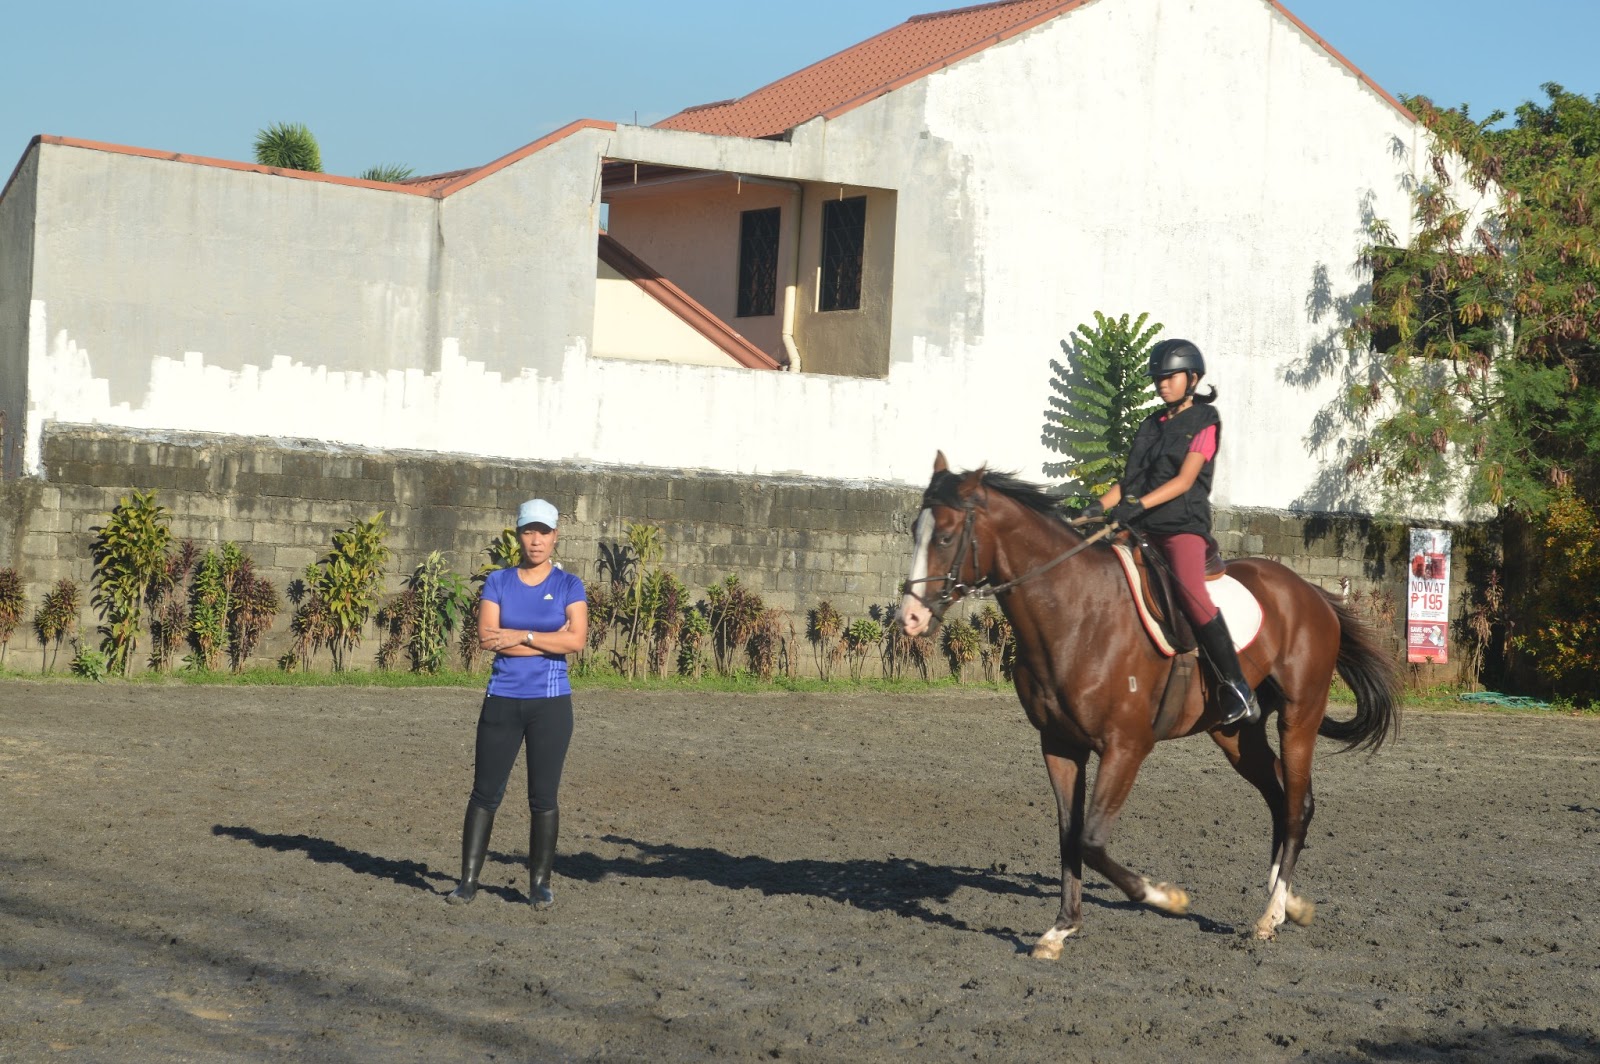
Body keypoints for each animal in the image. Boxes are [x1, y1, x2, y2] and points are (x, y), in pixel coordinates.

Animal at [899, 453, 1399, 956]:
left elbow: (1091, 841)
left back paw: (1270, 915)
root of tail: (1311, 593)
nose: (910, 617)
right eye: (915, 531)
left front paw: (1167, 897)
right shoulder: (1059, 745)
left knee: (1297, 806)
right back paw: (1286, 902)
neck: (1075, 613)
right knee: (1280, 797)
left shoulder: (1126, 747)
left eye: (945, 537)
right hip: (1235, 734)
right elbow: (1069, 836)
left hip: (1300, 717)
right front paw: (1061, 929)